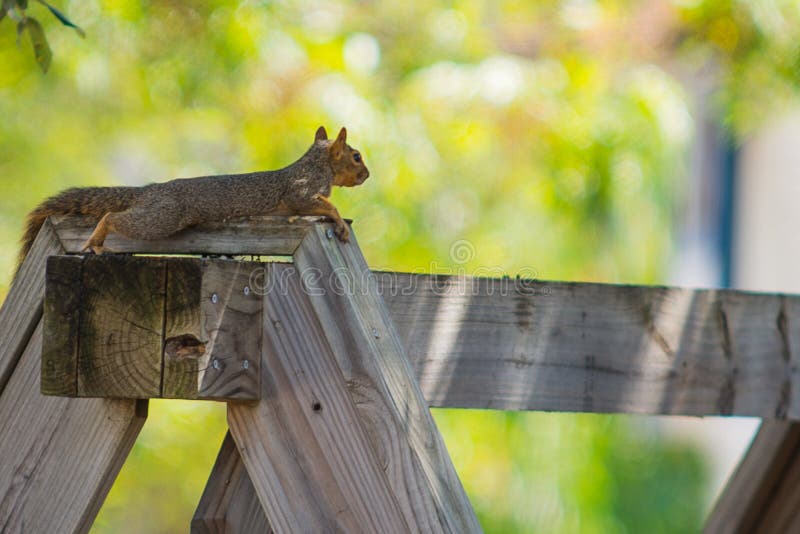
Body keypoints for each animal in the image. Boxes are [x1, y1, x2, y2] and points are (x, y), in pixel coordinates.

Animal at [16, 126, 369, 273]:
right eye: (356, 157)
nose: (367, 176)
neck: (317, 164)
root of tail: (149, 190)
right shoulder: (300, 190)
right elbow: (318, 203)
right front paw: (338, 219)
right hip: (162, 217)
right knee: (114, 218)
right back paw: (98, 237)